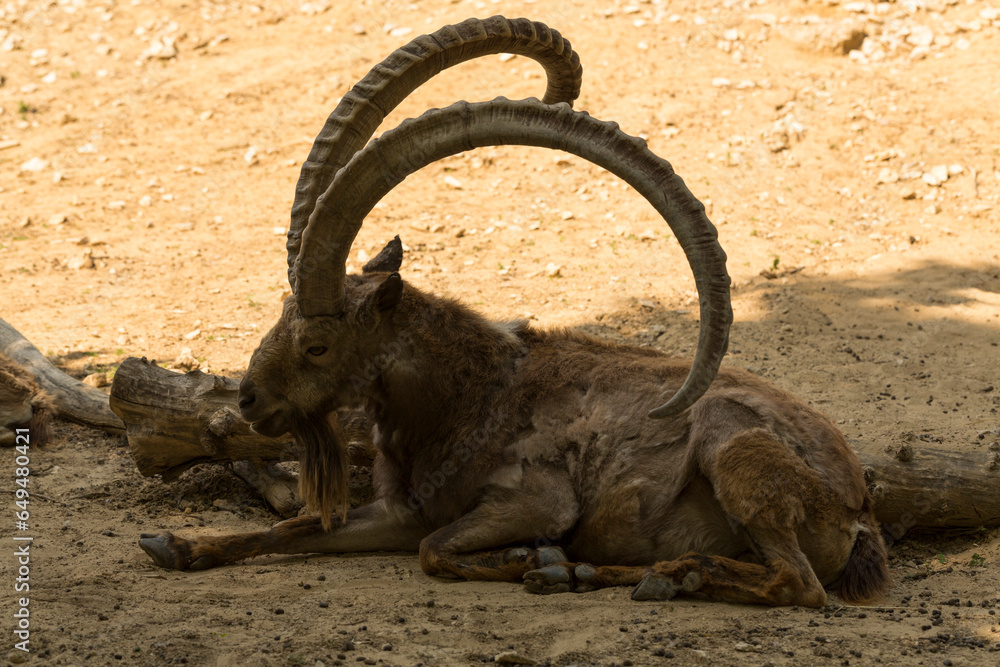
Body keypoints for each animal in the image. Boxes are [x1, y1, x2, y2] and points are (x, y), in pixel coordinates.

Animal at [139, 16, 889, 607]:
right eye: (281, 311)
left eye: (318, 344)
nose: (249, 399)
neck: (474, 394)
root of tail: (857, 506)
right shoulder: (400, 511)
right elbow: (292, 526)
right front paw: (176, 545)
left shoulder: (532, 501)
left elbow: (436, 550)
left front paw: (534, 555)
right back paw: (612, 573)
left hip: (732, 449)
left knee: (798, 585)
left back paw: (641, 573)